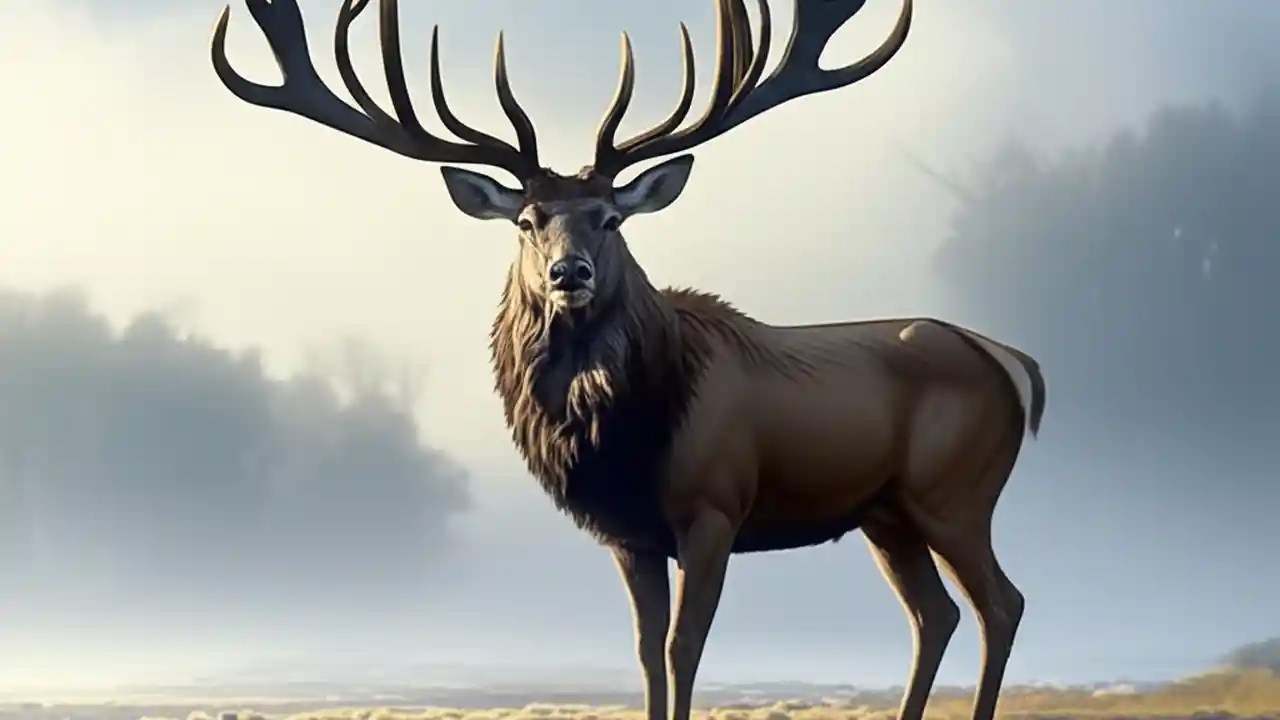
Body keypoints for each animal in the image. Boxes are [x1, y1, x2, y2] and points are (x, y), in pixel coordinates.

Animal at [211, 1, 1046, 719]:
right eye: (526, 220)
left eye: (610, 217)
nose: (568, 273)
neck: (625, 442)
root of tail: (1015, 362)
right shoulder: (627, 534)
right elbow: (645, 654)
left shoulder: (715, 506)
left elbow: (684, 649)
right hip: (886, 513)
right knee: (935, 614)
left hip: (956, 493)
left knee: (1001, 604)